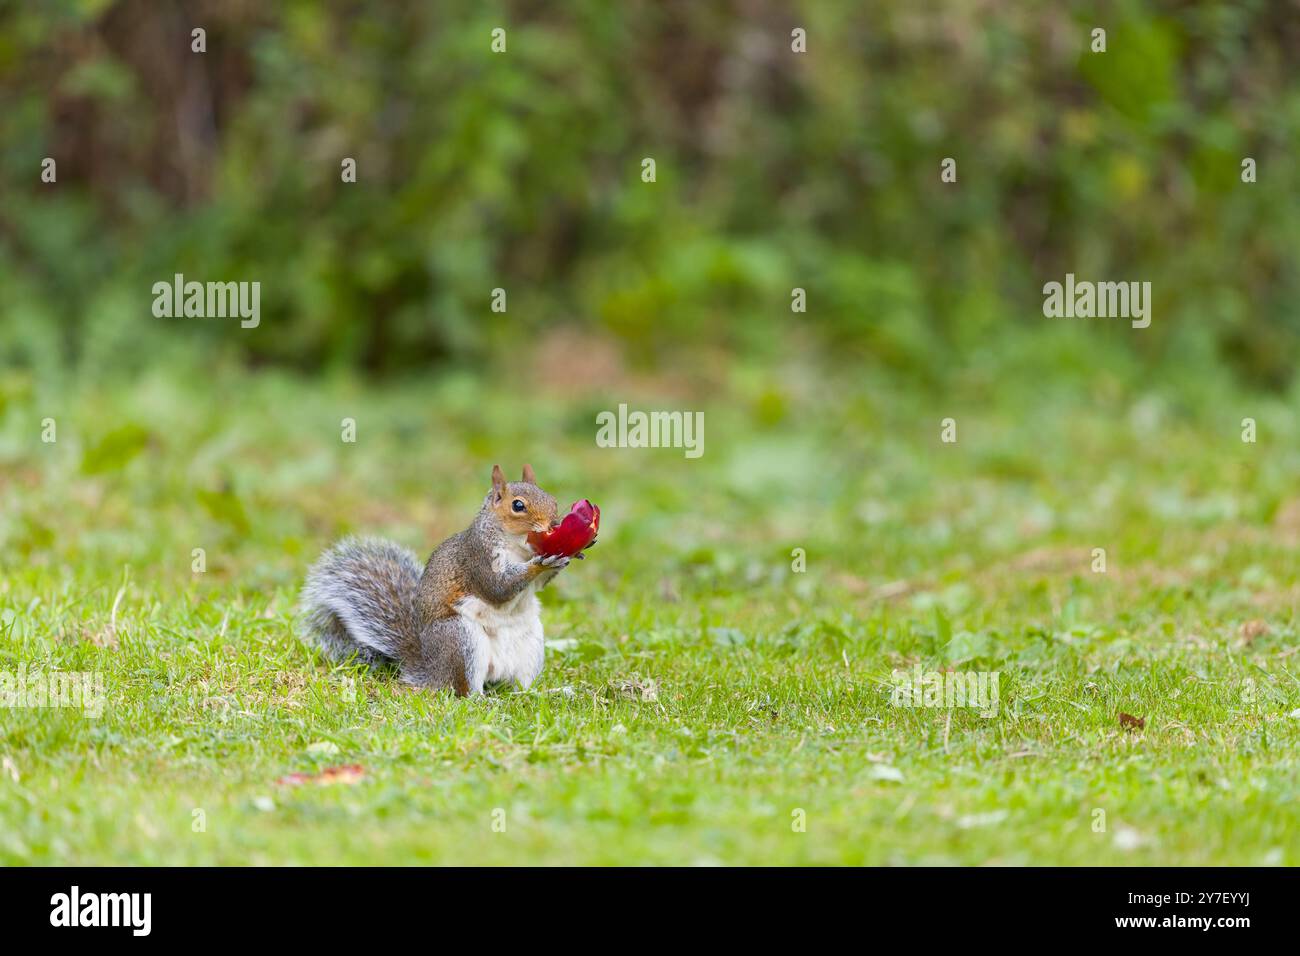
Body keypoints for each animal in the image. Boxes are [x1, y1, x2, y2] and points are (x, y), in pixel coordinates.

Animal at [298, 464, 592, 696]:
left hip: (531, 646)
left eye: (552, 499)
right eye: (518, 505)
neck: (518, 546)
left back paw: (547, 692)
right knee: (465, 692)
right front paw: (541, 562)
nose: (553, 525)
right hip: (460, 639)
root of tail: (431, 670)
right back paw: (486, 700)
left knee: (520, 688)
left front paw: (571, 553)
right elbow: (497, 588)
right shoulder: (477, 558)